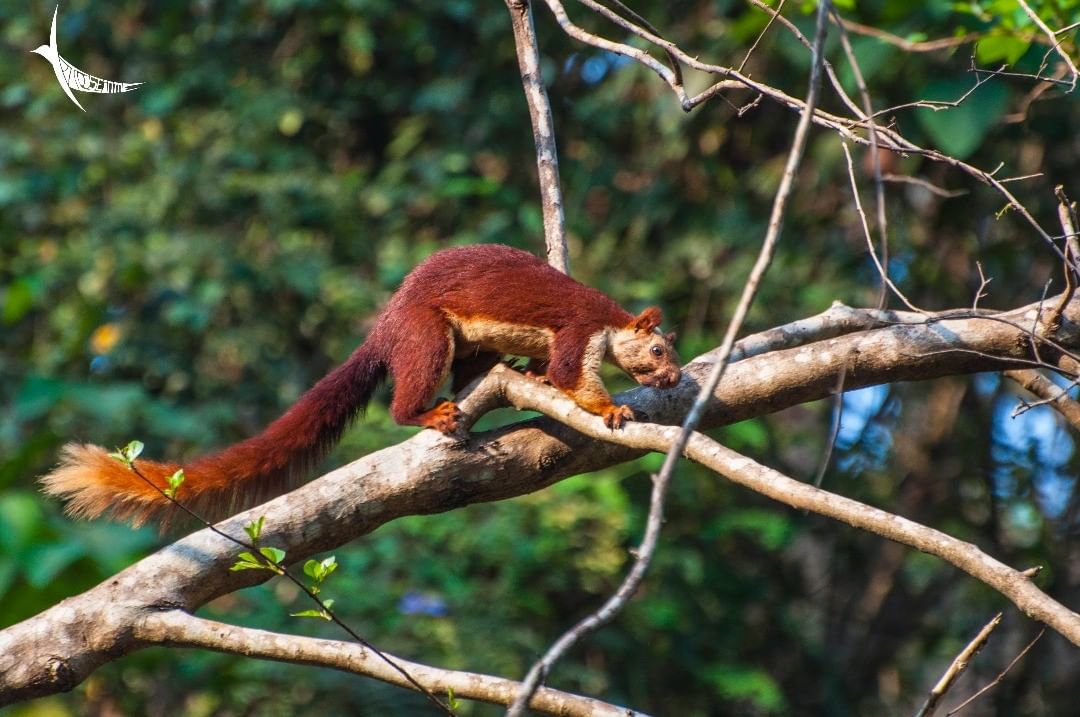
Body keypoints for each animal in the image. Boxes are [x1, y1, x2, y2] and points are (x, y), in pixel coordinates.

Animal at [41, 244, 681, 525]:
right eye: (657, 349)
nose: (674, 376)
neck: (609, 323)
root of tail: (385, 326)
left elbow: (553, 371)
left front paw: (535, 373)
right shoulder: (578, 329)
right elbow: (574, 376)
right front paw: (610, 411)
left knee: (471, 370)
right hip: (427, 333)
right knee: (411, 392)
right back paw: (429, 413)